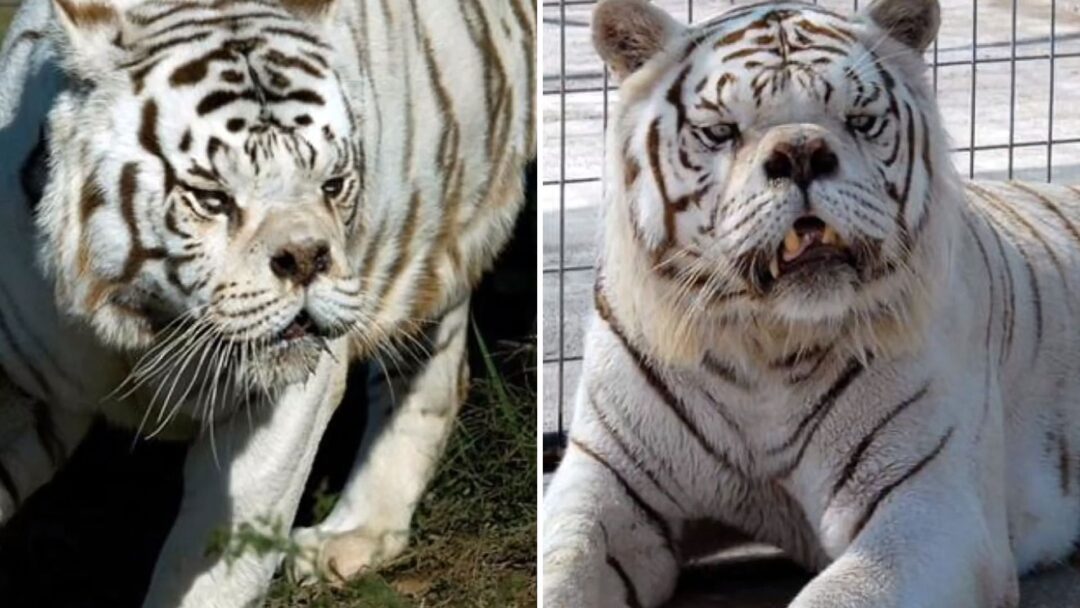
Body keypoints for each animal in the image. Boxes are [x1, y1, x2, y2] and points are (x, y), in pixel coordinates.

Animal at [0, 0, 533, 605]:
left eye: (332, 184)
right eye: (212, 199)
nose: (306, 258)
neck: (144, 322)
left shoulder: (284, 396)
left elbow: (214, 565)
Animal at [542, 1, 1080, 607]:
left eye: (860, 120)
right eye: (721, 131)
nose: (801, 152)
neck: (763, 348)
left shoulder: (929, 502)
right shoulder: (609, 483)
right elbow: (562, 574)